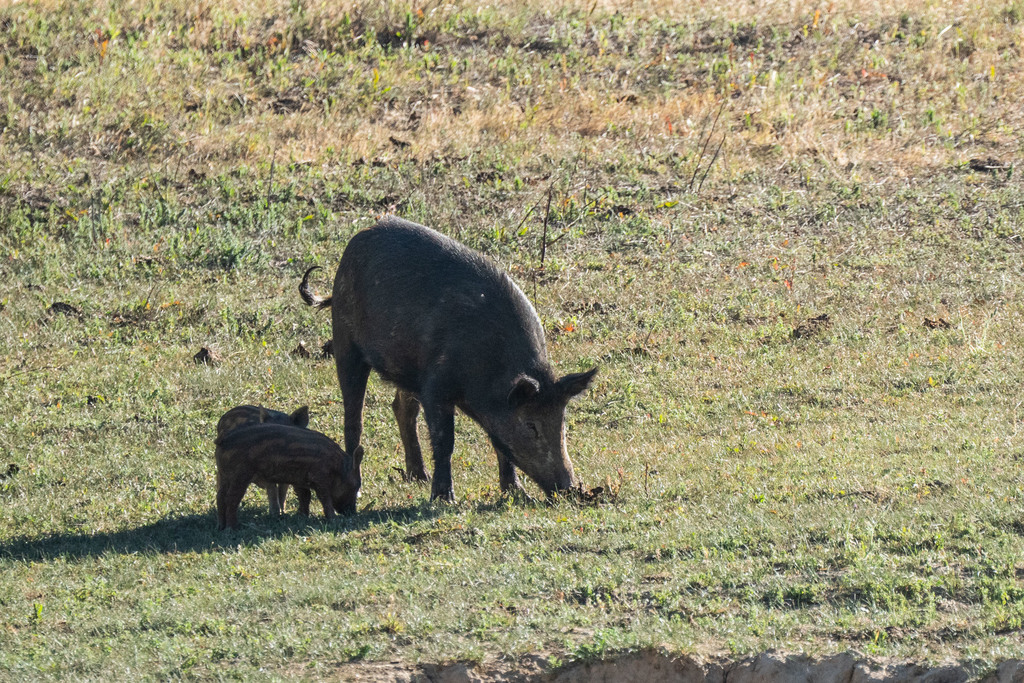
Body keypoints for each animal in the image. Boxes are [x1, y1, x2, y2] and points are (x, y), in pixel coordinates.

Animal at [214, 419, 363, 530]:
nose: (352, 513)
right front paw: (333, 519)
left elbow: (305, 496)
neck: (338, 466)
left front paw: (303, 516)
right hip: (240, 475)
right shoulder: (320, 477)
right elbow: (324, 499)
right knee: (231, 498)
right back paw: (232, 528)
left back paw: (221, 526)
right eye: (356, 486)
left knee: (220, 496)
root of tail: (221, 440)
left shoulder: (301, 479)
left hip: (224, 474)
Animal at [298, 215, 597, 501]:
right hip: (345, 341)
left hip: (406, 369)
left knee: (401, 409)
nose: (571, 488)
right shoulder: (436, 385)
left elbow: (500, 444)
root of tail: (359, 237)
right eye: (531, 425)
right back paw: (361, 488)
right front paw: (444, 499)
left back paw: (419, 478)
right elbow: (445, 441)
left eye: (562, 422)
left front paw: (517, 493)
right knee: (354, 417)